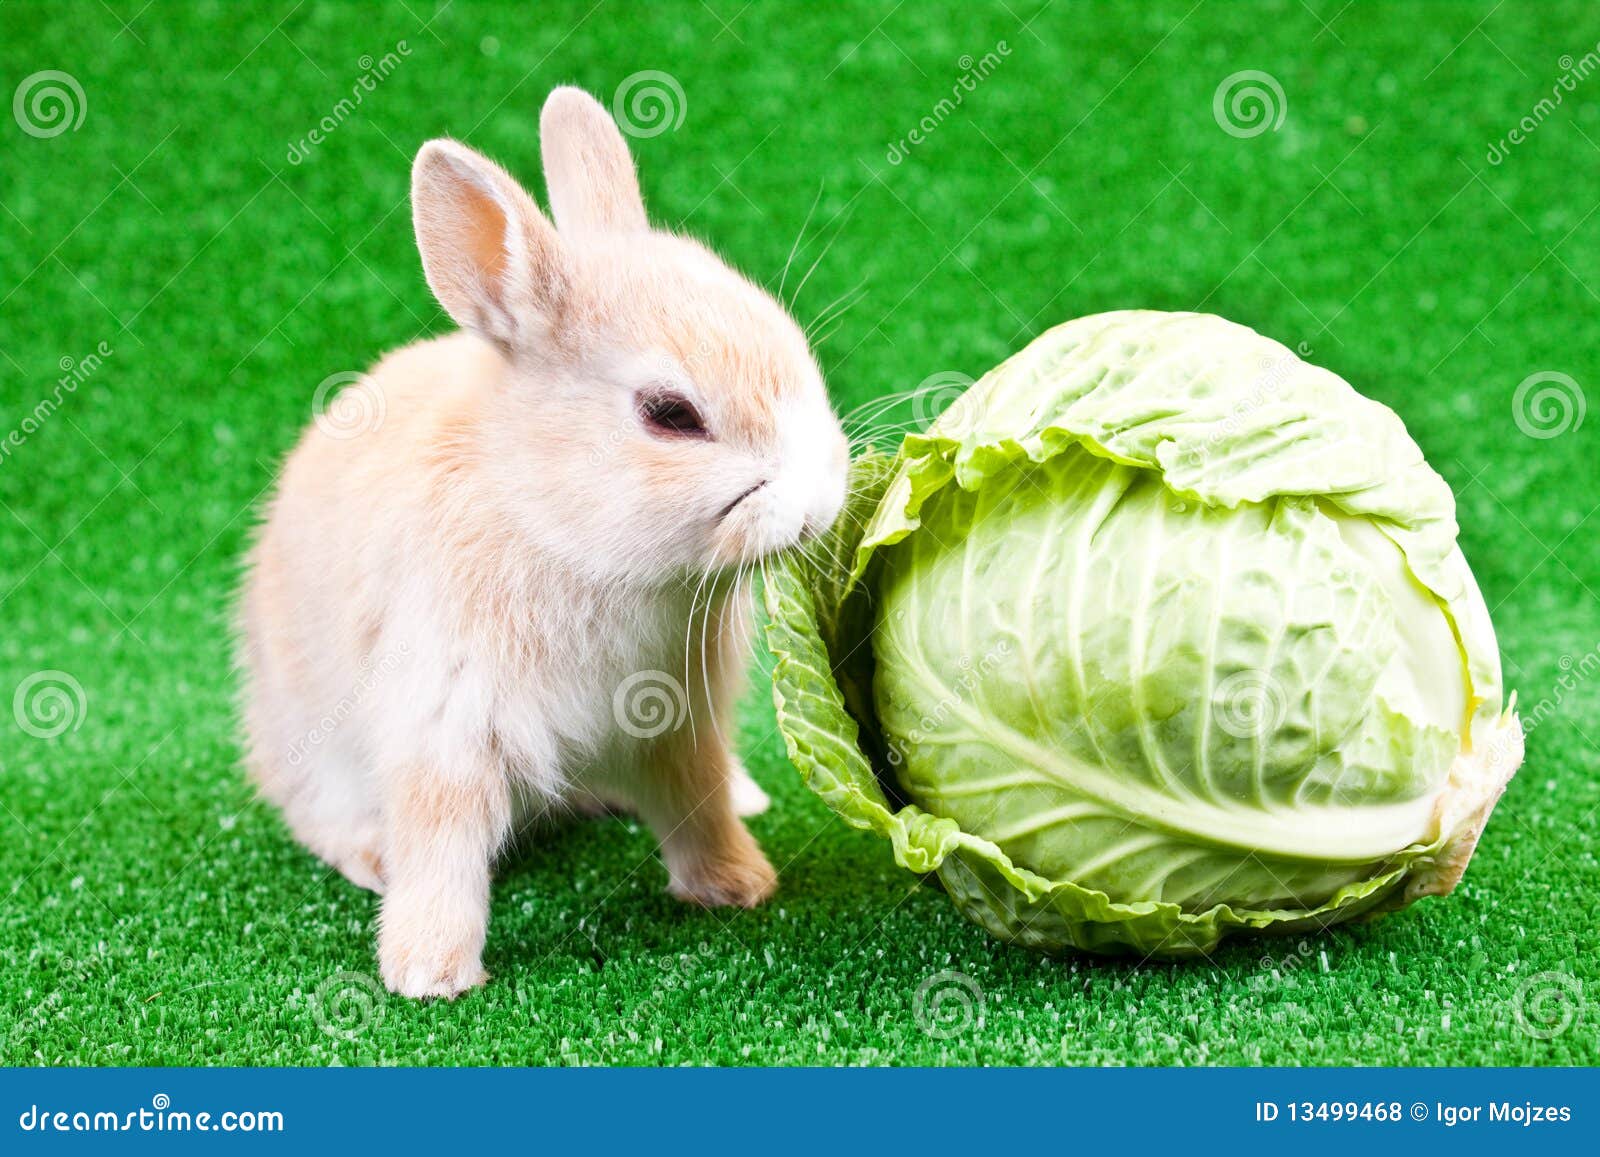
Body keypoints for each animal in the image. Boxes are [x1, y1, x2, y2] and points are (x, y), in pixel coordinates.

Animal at [237, 87, 849, 999]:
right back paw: (371, 857)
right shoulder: (444, 725)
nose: (819, 507)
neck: (557, 528)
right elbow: (444, 848)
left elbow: (696, 802)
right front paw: (430, 971)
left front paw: (738, 885)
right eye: (670, 413)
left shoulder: (679, 724)